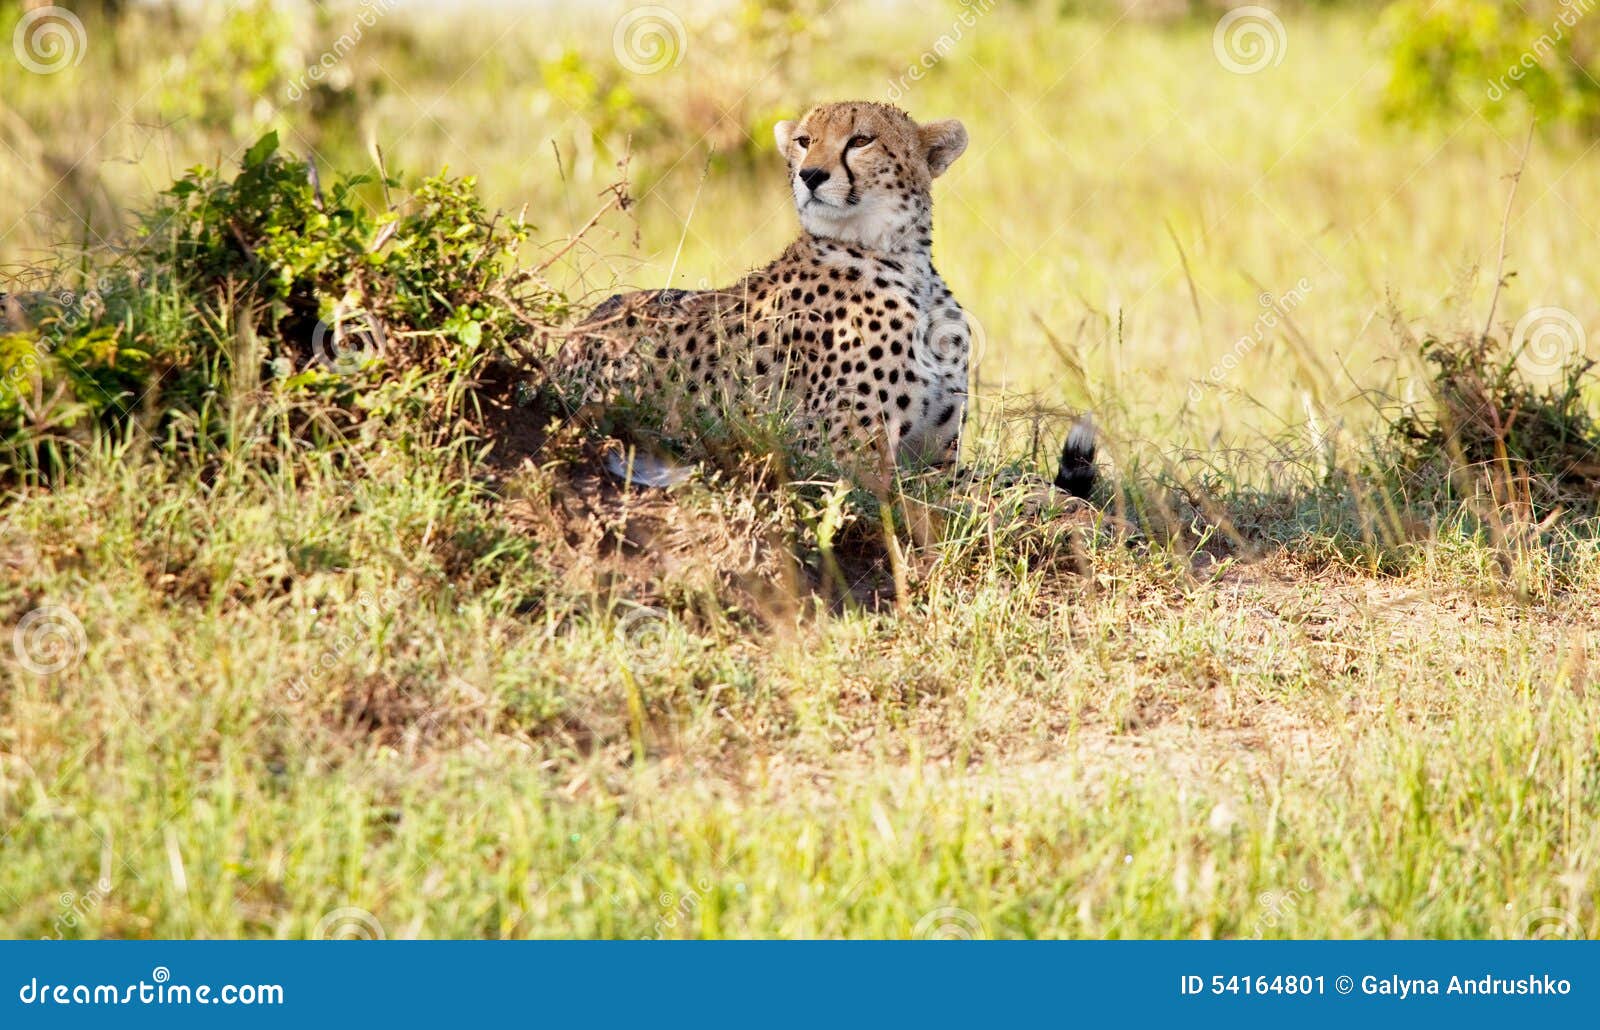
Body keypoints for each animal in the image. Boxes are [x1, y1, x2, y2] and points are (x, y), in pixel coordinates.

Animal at [554, 100, 1096, 499]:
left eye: (861, 140)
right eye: (804, 141)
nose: (809, 175)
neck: (900, 260)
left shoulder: (935, 449)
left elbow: (986, 478)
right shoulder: (843, 458)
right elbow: (980, 489)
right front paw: (1052, 498)